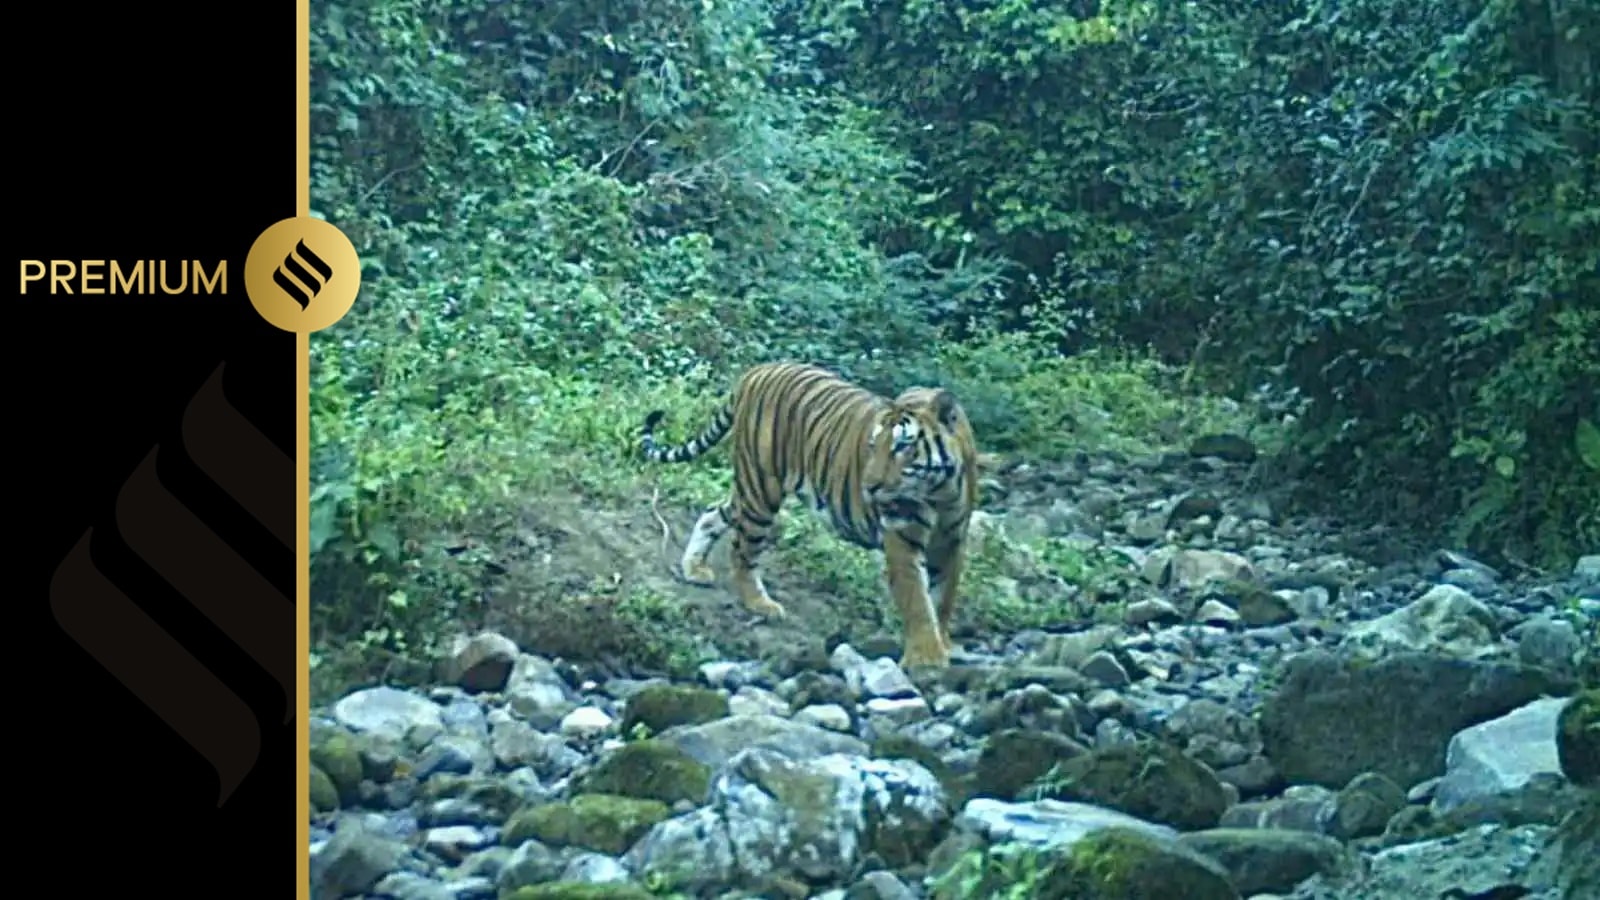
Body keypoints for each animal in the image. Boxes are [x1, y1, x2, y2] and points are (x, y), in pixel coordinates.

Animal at [639, 361, 981, 669]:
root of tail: (755, 371)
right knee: (743, 552)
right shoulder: (902, 537)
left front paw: (943, 645)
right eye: (873, 445)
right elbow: (917, 601)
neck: (940, 491)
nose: (869, 486)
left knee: (714, 513)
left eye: (902, 446)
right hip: (761, 488)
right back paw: (760, 604)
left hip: (749, 492)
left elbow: (942, 599)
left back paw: (694, 567)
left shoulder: (952, 542)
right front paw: (927, 659)